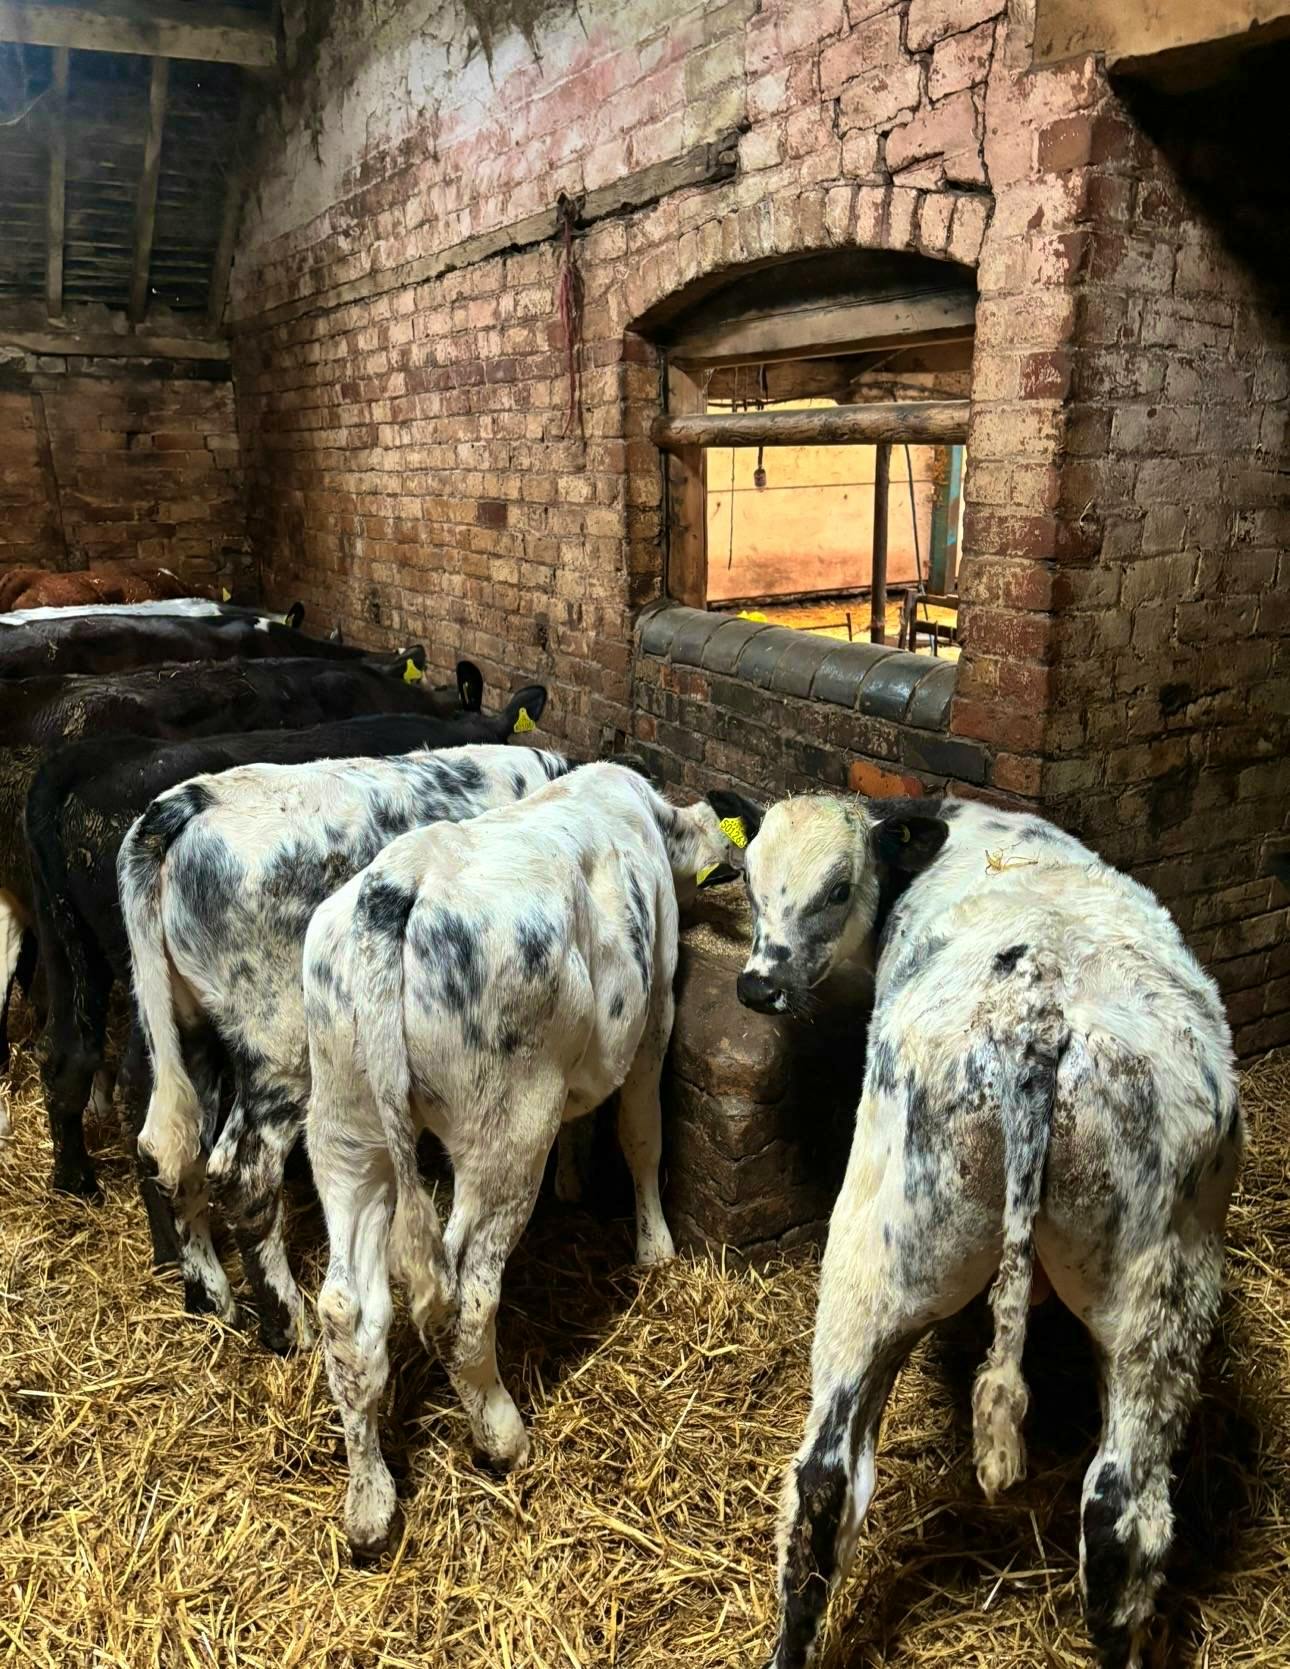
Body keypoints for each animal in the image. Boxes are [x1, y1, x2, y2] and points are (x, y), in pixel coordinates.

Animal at [118, 741, 572, 1352]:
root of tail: (185, 804)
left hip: (183, 1022)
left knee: (171, 1148)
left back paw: (209, 1299)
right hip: (278, 1040)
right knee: (241, 1173)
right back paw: (287, 1325)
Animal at [300, 764, 755, 1557]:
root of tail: (397, 883)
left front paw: (574, 1183)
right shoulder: (654, 1016)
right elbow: (641, 1132)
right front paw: (655, 1245)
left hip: (345, 1125)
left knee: (346, 1309)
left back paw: (370, 1503)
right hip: (506, 1126)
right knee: (467, 1292)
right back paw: (503, 1436)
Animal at [729, 793, 1241, 1669]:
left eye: (837, 889)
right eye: (748, 878)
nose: (759, 983)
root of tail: (1035, 1020)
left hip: (889, 1254)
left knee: (828, 1483)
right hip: (1162, 1289)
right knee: (1121, 1515)